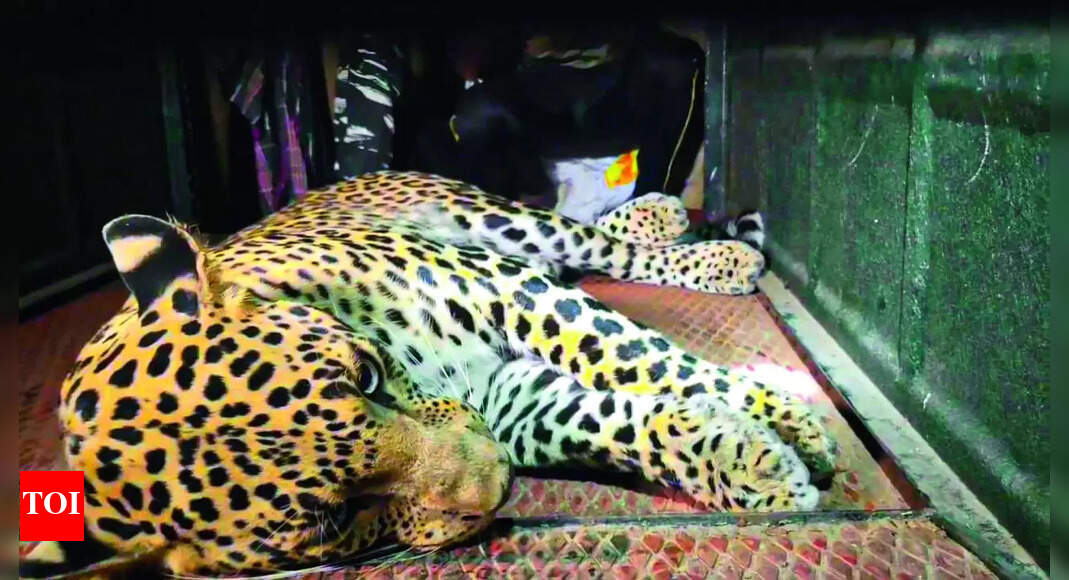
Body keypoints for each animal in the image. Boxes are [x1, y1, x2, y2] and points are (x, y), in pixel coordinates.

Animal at [20, 171, 837, 579]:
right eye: (340, 518)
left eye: (365, 377)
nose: (499, 485)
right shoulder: (510, 403)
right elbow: (612, 418)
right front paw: (752, 463)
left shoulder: (511, 295)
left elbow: (639, 358)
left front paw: (790, 427)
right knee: (593, 250)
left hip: (493, 225)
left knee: (599, 245)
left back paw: (704, 246)